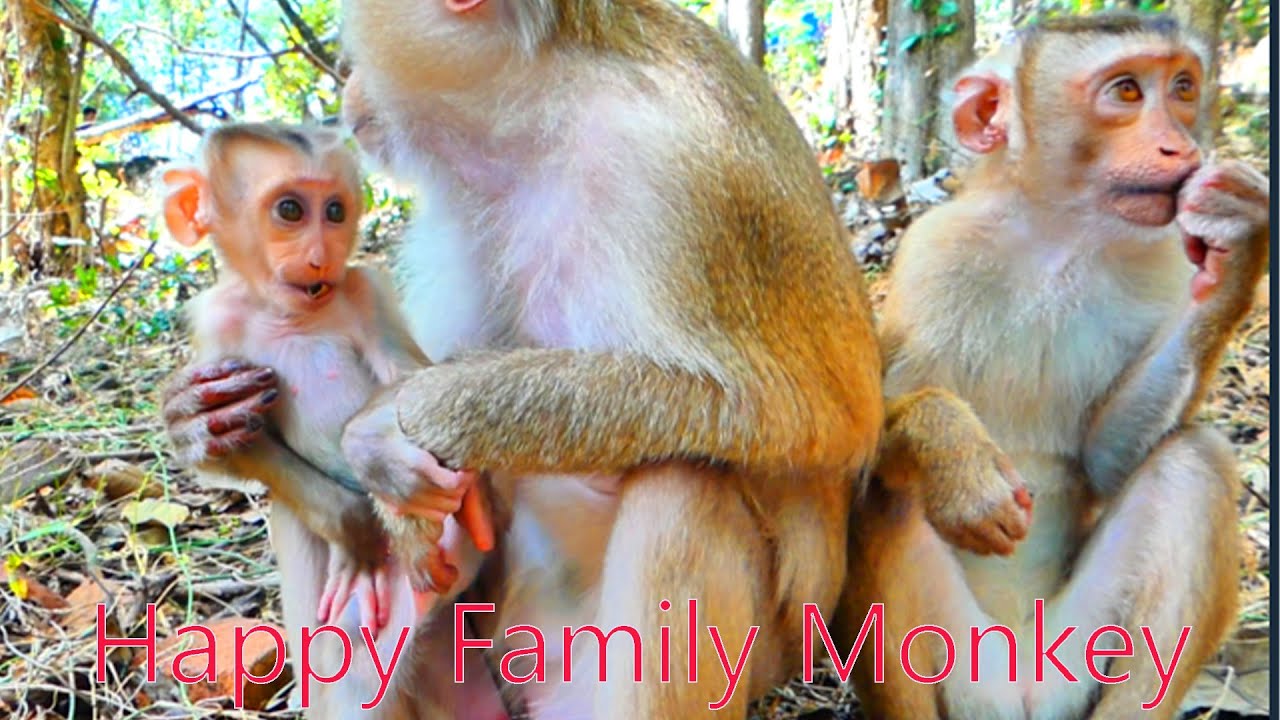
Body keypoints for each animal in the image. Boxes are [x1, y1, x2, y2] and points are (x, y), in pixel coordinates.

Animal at [158, 122, 496, 715]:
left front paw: (388, 467)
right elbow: (238, 438)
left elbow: (406, 374)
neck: (289, 313)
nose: (321, 255)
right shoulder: (215, 324)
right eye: (291, 210)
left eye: (335, 211)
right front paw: (352, 523)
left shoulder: (366, 289)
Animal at [837, 13, 1269, 720]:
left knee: (1194, 464)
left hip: (1073, 662)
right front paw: (951, 451)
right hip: (969, 675)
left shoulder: (1159, 263)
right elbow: (863, 445)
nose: (1181, 148)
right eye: (1127, 91)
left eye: (1182, 87)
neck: (1057, 237)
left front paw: (1239, 238)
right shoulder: (935, 257)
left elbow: (1105, 458)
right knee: (888, 498)